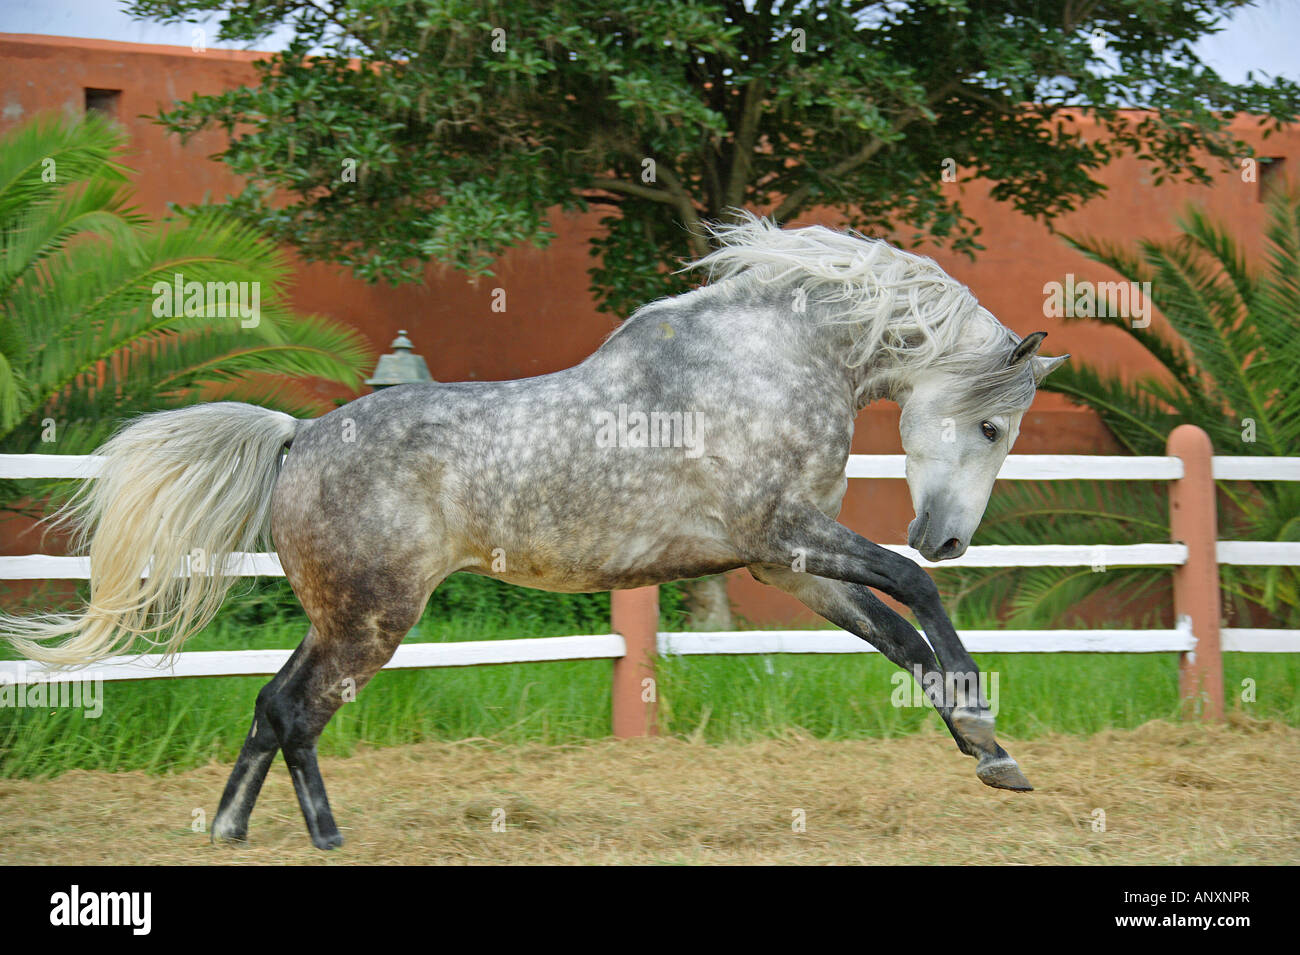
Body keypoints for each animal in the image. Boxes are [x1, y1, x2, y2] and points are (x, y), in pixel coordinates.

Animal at [3, 215, 1067, 849]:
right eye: (992, 426)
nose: (949, 537)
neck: (770, 357)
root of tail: (298, 435)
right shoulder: (789, 536)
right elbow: (913, 597)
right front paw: (985, 722)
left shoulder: (791, 564)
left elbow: (897, 635)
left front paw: (990, 751)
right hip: (372, 622)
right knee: (299, 714)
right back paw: (328, 840)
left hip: (337, 616)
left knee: (270, 705)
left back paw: (229, 829)